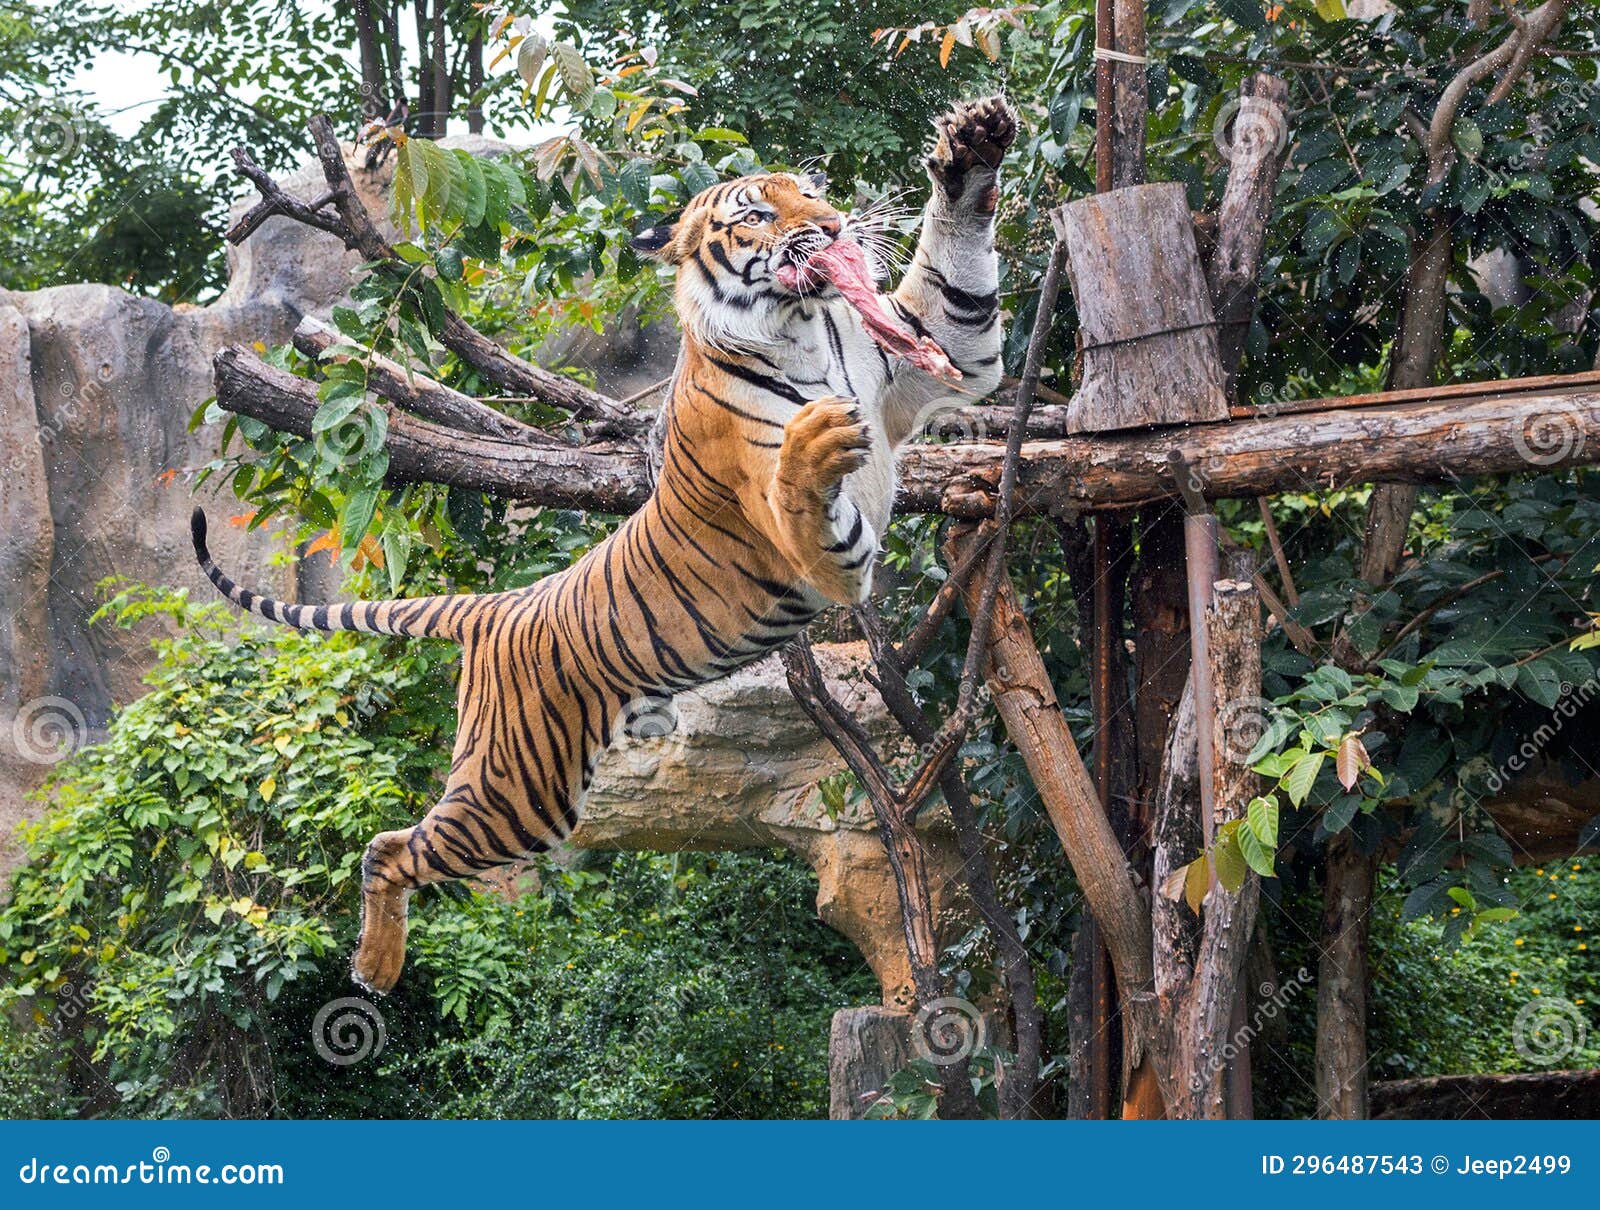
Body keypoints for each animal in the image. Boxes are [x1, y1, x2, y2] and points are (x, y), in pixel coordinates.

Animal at [191, 96, 1016, 991]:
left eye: (811, 192)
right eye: (760, 214)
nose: (833, 227)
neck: (805, 329)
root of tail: (500, 608)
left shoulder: (931, 360)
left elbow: (956, 299)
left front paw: (971, 147)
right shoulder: (814, 554)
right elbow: (800, 491)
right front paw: (815, 436)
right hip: (518, 791)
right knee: (390, 847)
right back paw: (374, 967)